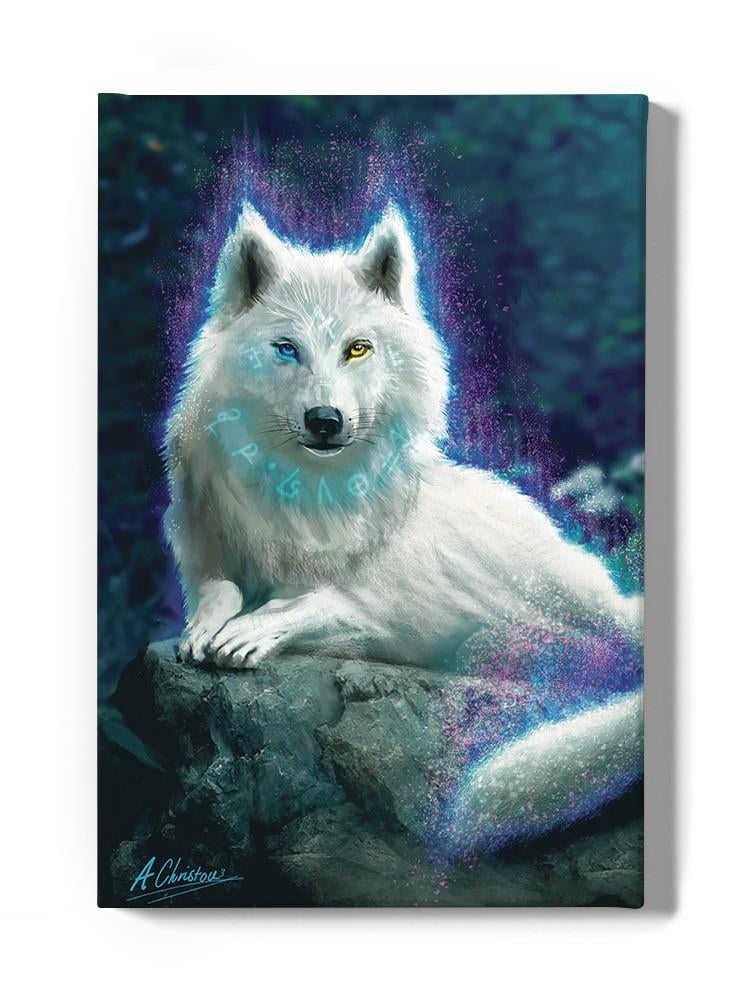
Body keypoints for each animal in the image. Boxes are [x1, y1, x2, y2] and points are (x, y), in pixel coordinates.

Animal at [164, 203, 643, 849]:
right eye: (286, 349)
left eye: (357, 349)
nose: (325, 419)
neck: (307, 493)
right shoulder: (208, 547)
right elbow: (219, 590)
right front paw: (203, 628)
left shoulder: (401, 615)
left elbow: (320, 602)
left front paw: (252, 630)